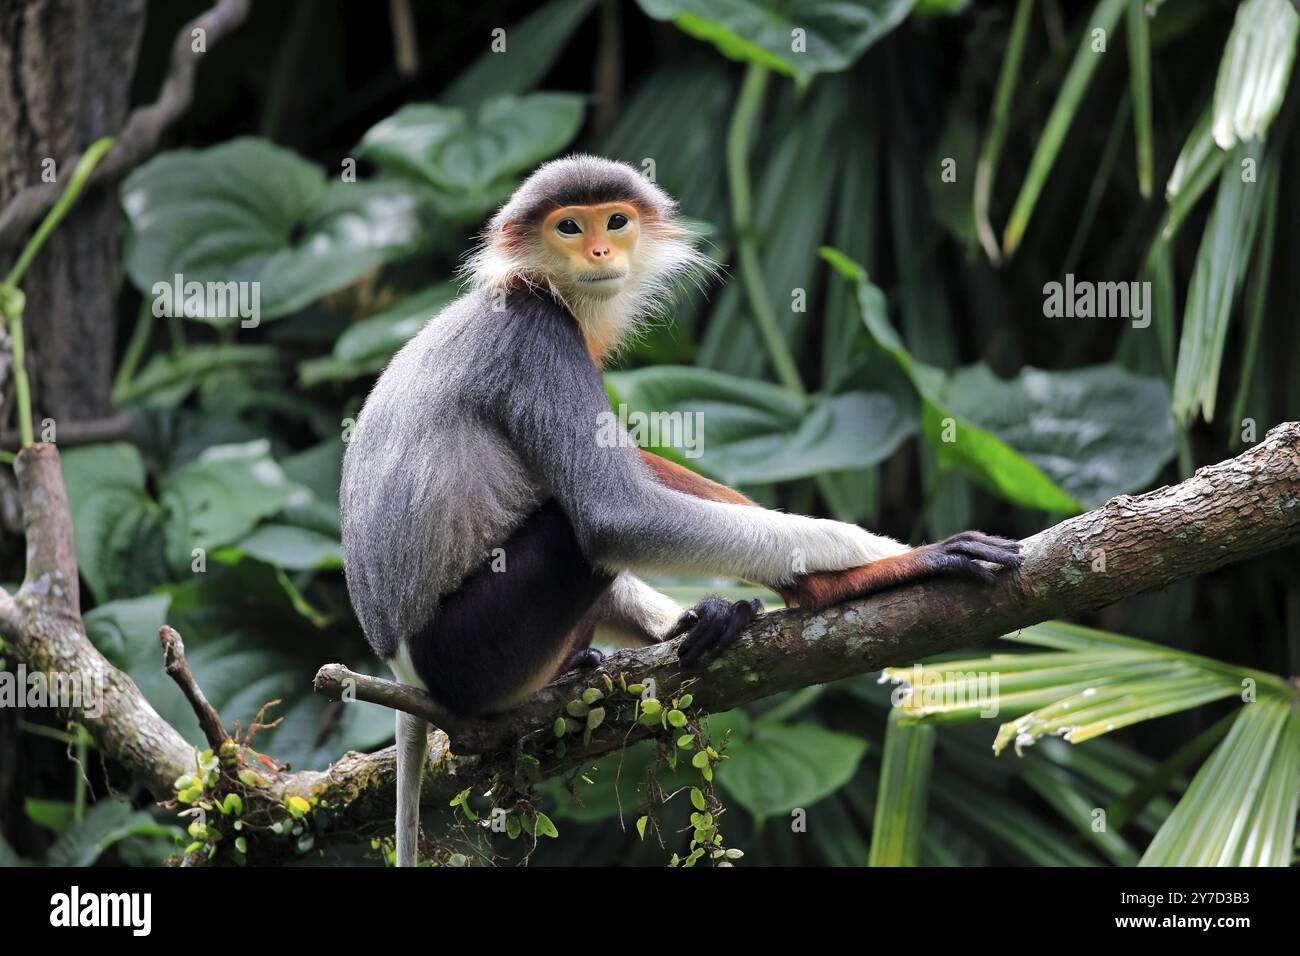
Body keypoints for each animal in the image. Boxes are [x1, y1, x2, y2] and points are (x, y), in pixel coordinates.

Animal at [339, 155, 1021, 866]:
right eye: (569, 227)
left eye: (615, 221)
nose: (601, 251)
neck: (535, 287)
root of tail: (401, 667)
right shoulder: (537, 337)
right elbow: (613, 516)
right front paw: (890, 556)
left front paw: (718, 611)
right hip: (473, 654)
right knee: (574, 529)